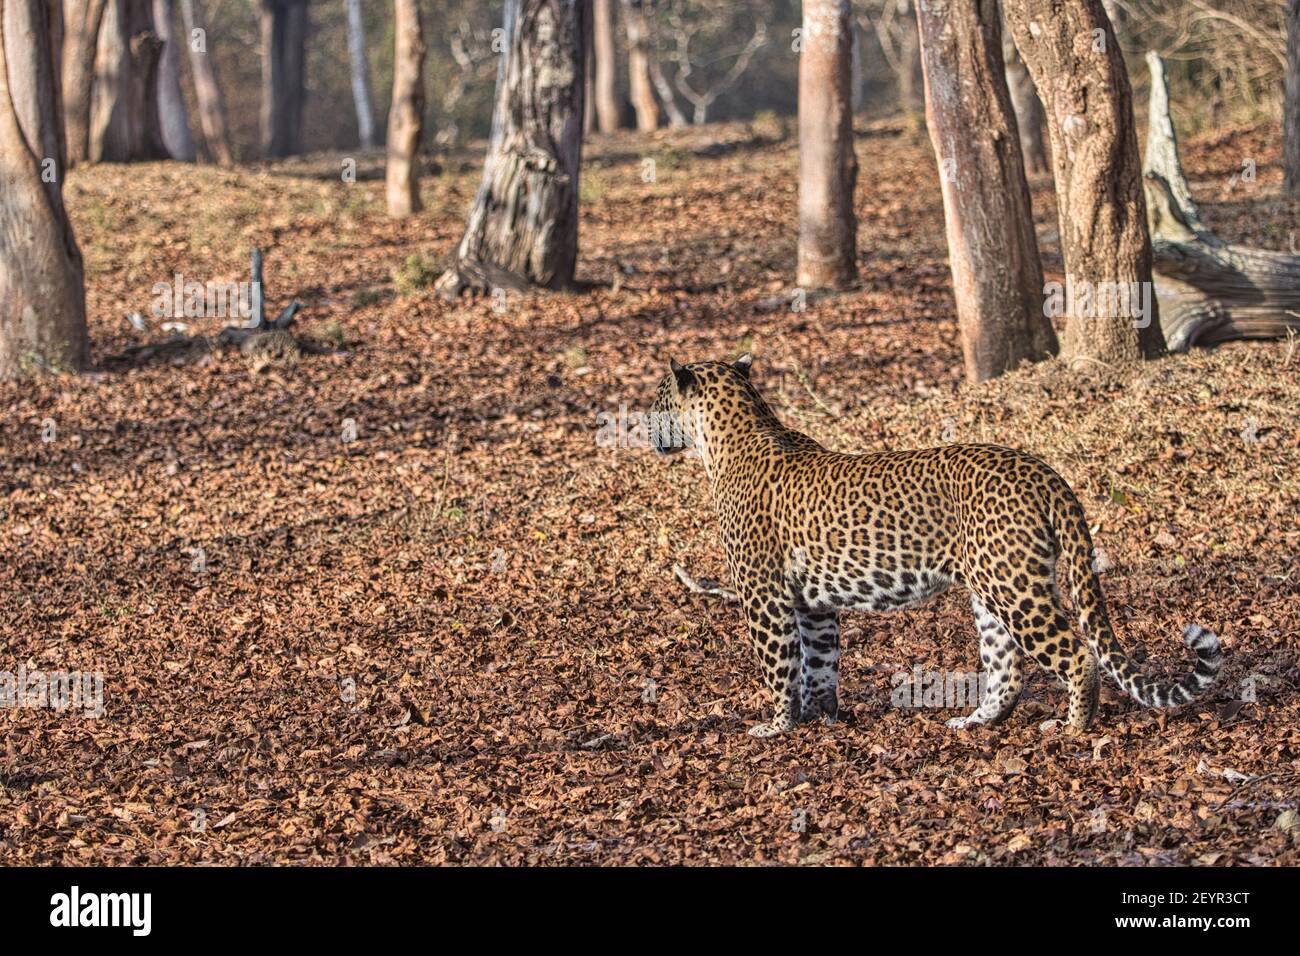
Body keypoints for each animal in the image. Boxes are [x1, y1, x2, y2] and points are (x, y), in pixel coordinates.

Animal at [650, 354, 1222, 738]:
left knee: (1077, 654)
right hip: (993, 588)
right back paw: (975, 720)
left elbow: (779, 664)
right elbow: (820, 662)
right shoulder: (814, 604)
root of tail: (1043, 472)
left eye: (657, 401)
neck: (728, 436)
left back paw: (1073, 727)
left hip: (1015, 589)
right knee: (1006, 668)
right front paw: (822, 717)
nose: (647, 428)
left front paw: (776, 725)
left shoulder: (762, 596)